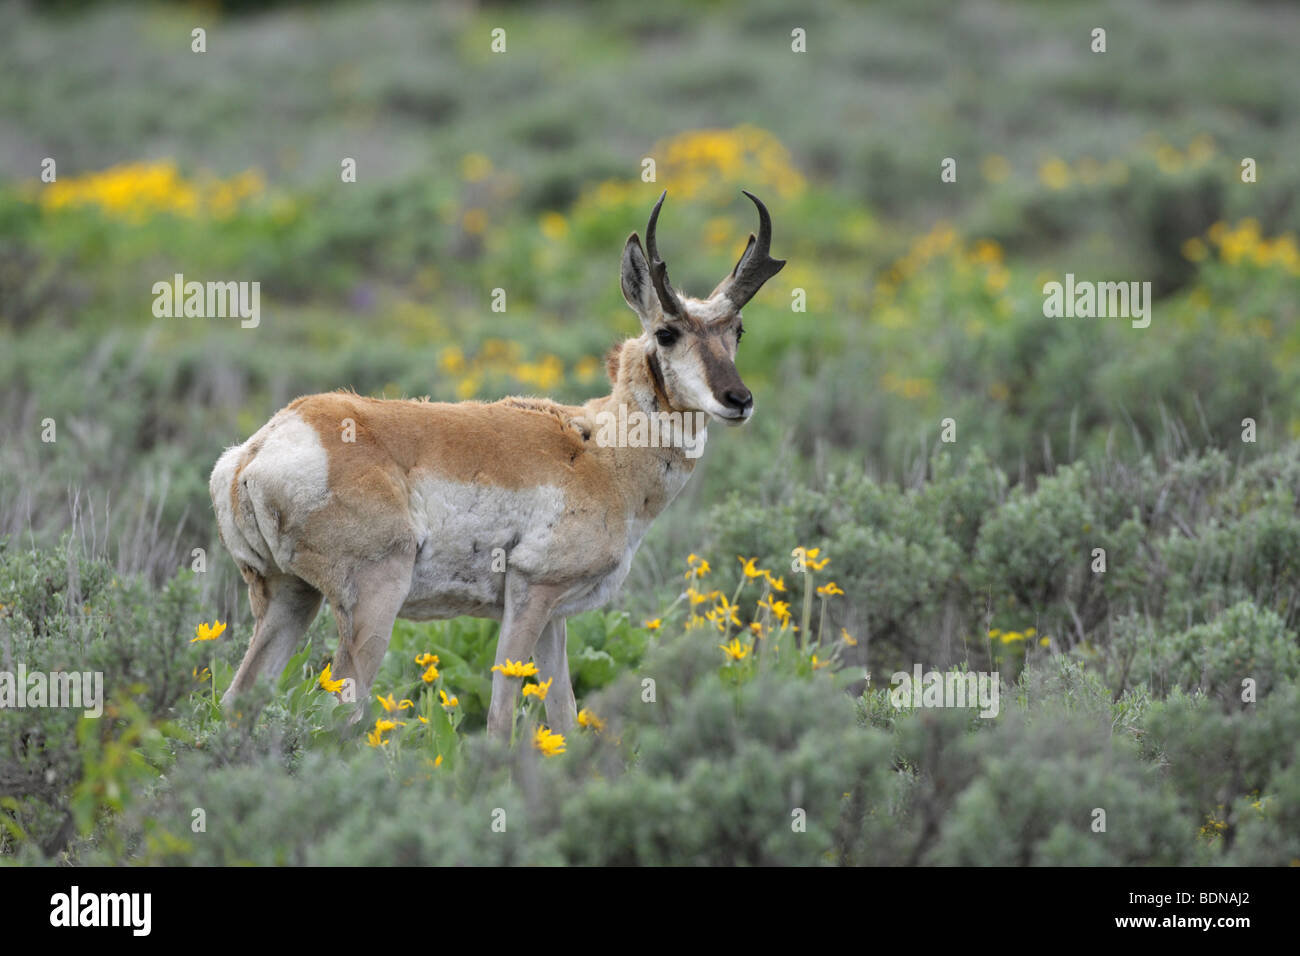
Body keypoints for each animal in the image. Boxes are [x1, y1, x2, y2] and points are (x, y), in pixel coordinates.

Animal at [209, 190, 785, 738]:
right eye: (667, 332)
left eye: (737, 331)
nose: (739, 399)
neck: (602, 449)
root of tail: (257, 451)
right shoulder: (531, 593)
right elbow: (501, 716)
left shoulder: (555, 616)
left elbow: (564, 715)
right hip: (373, 600)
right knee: (339, 715)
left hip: (289, 596)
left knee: (239, 701)